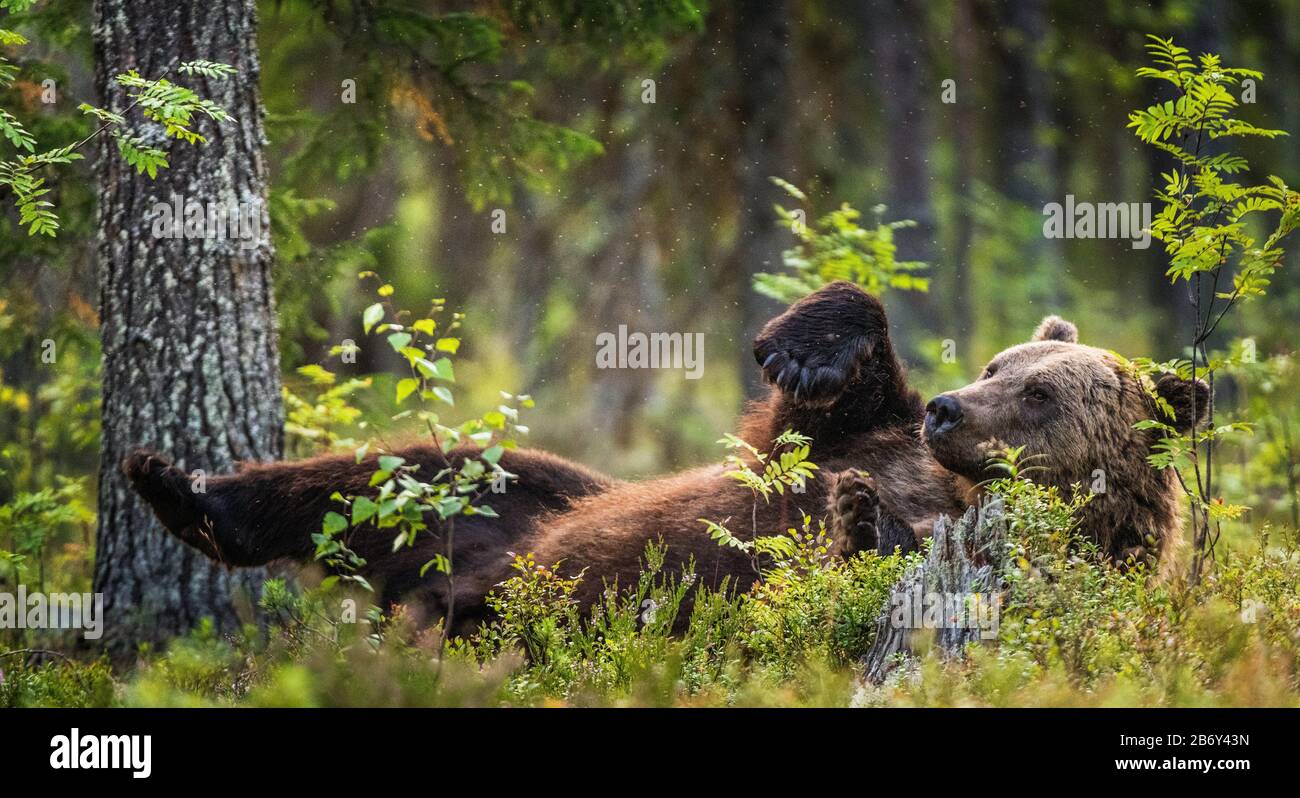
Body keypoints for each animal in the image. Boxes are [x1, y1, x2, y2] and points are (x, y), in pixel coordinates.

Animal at [126, 281, 966, 635]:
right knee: (395, 474)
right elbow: (811, 419)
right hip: (527, 502)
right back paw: (176, 485)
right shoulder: (851, 439)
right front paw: (805, 350)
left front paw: (859, 519)